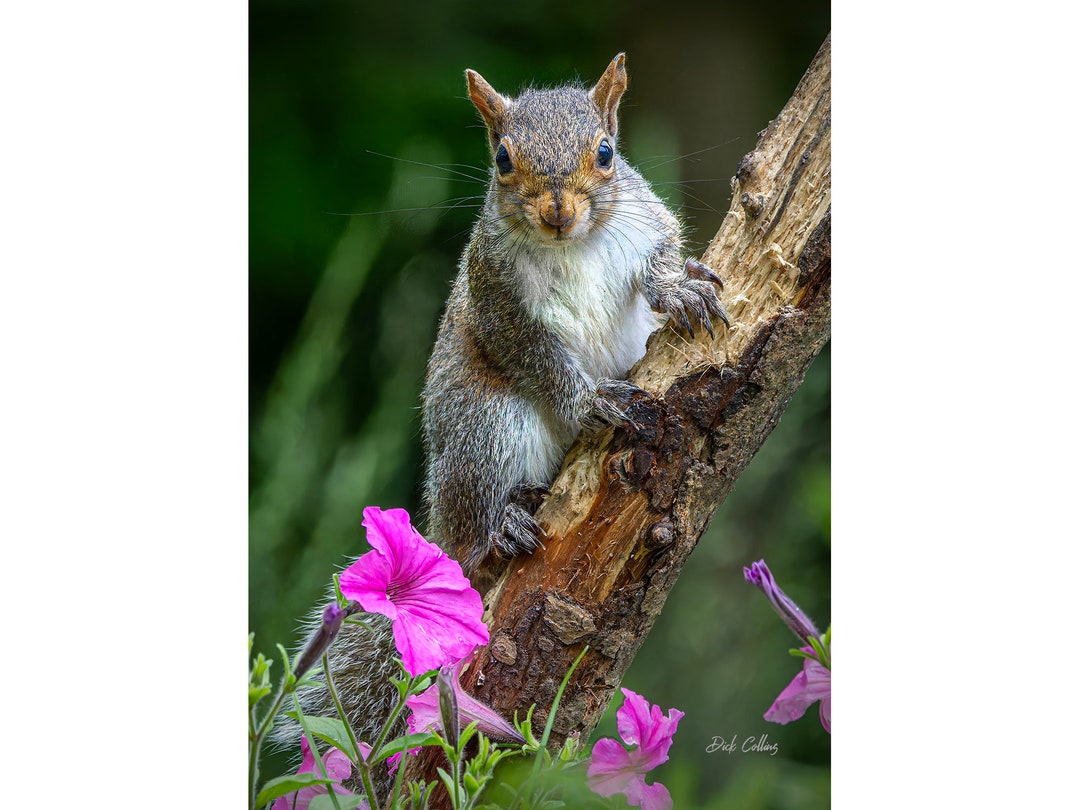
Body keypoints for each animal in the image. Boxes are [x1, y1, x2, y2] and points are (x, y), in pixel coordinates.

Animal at [279, 53, 727, 790]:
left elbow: (661, 259)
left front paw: (680, 289)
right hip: (486, 427)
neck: (575, 245)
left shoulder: (645, 223)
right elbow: (537, 358)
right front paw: (589, 402)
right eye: (502, 158)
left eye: (606, 153)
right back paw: (506, 521)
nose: (556, 212)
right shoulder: (498, 301)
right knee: (480, 516)